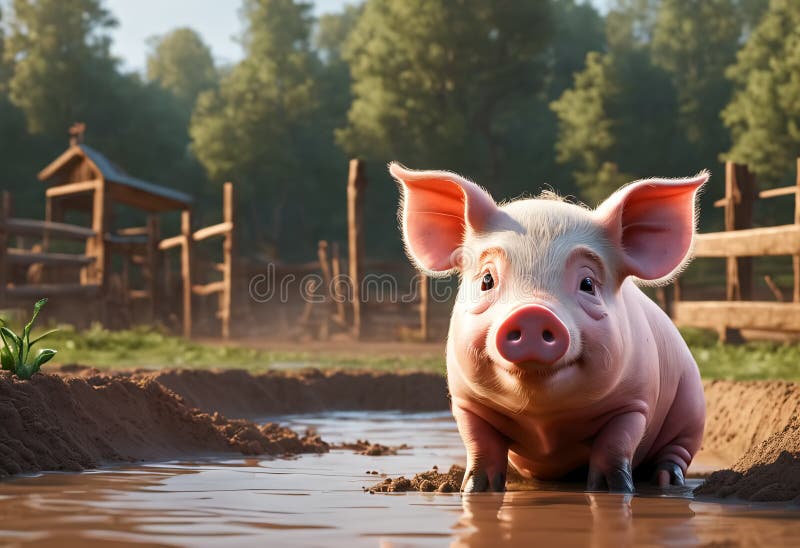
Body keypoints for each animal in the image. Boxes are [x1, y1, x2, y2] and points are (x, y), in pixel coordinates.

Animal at [389, 163, 707, 493]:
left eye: (588, 284)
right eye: (487, 280)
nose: (533, 312)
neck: (543, 420)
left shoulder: (634, 404)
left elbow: (615, 446)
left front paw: (610, 490)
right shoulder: (468, 403)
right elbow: (480, 445)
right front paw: (476, 489)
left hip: (691, 406)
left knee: (676, 451)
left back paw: (667, 481)